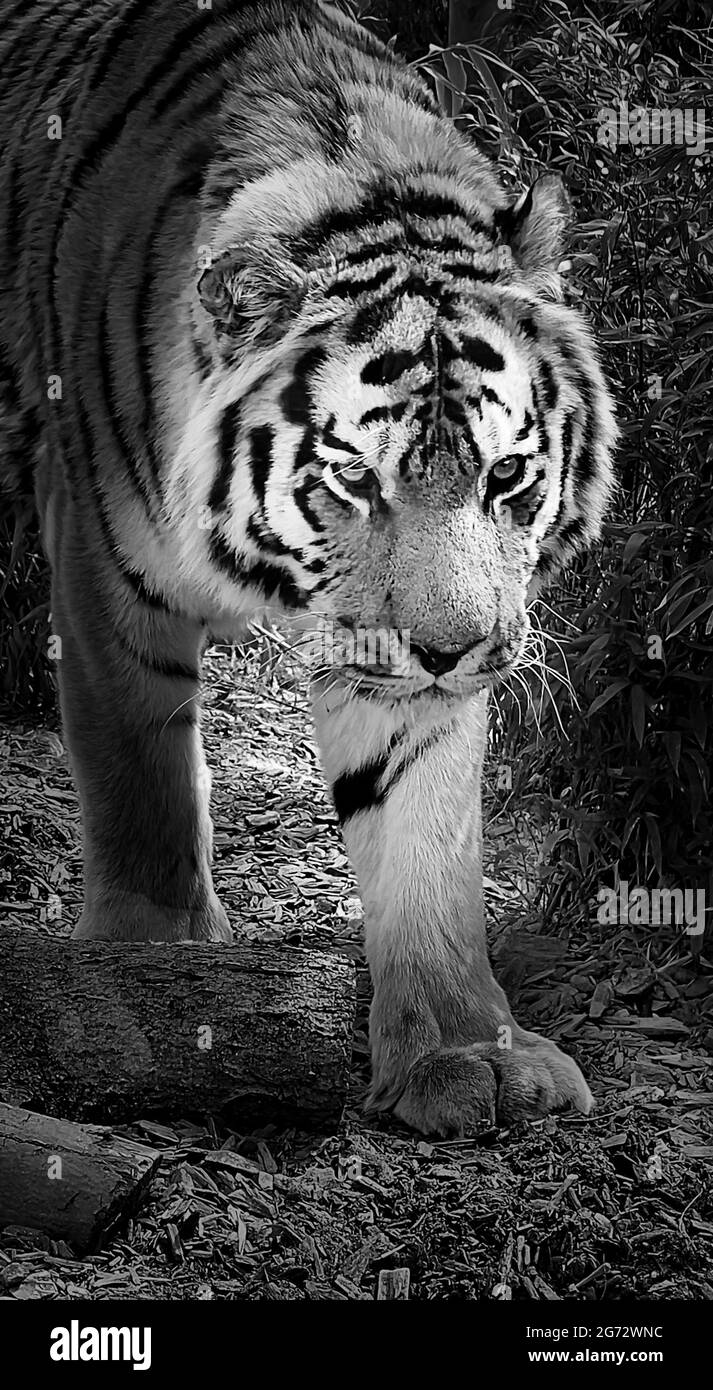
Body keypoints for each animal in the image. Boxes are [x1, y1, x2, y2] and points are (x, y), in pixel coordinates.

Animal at [0, 0, 617, 1137]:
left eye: (507, 473)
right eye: (353, 477)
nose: (452, 650)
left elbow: (421, 837)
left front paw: (467, 1052)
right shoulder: (109, 577)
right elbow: (142, 788)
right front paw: (151, 992)